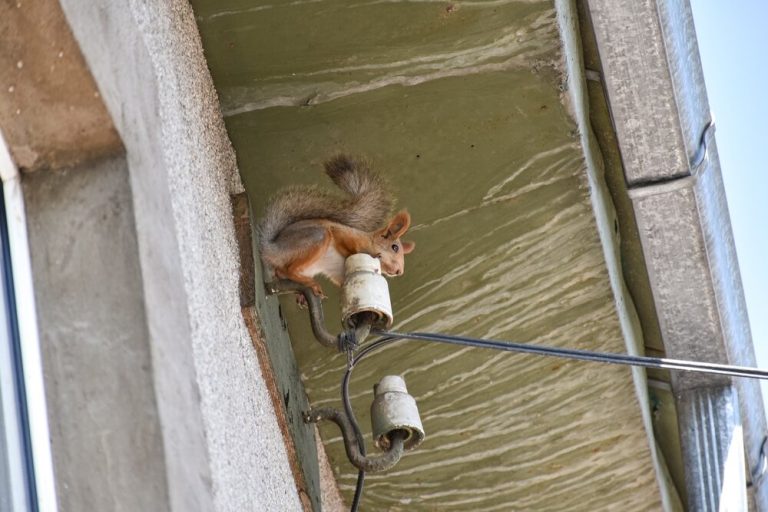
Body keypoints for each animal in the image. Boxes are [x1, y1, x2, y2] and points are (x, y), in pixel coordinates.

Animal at [258, 154, 415, 297]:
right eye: (395, 247)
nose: (399, 272)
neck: (369, 241)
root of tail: (271, 248)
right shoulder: (344, 233)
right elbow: (345, 244)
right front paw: (358, 252)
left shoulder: (341, 276)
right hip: (316, 237)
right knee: (287, 270)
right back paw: (310, 283)